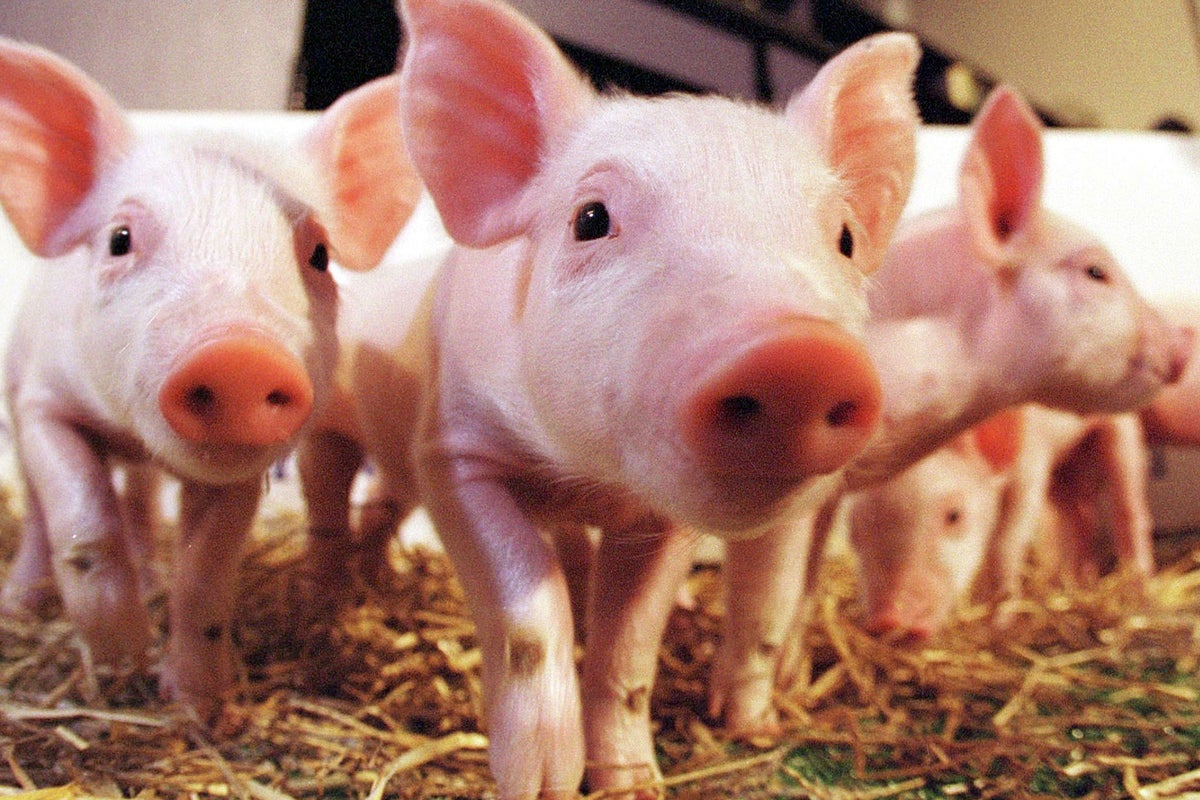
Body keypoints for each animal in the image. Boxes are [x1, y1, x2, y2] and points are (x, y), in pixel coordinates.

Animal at [0, 39, 418, 718]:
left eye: (320, 255)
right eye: (120, 239)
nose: (239, 357)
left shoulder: (242, 468)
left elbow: (205, 575)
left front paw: (198, 708)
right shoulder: (42, 402)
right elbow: (85, 523)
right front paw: (120, 664)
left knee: (141, 500)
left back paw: (149, 574)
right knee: (40, 515)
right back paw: (22, 605)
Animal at [297, 0, 922, 795]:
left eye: (843, 238)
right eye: (591, 218)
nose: (801, 356)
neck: (587, 478)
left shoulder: (660, 522)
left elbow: (628, 650)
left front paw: (633, 783)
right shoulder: (451, 450)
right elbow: (529, 617)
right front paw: (542, 785)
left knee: (382, 508)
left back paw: (378, 582)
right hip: (330, 428)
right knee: (328, 499)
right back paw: (326, 599)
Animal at [709, 85, 1192, 734]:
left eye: (955, 517)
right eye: (1096, 272)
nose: (1182, 344)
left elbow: (1003, 542)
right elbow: (789, 593)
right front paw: (767, 712)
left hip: (1120, 432)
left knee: (1126, 508)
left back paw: (1124, 592)